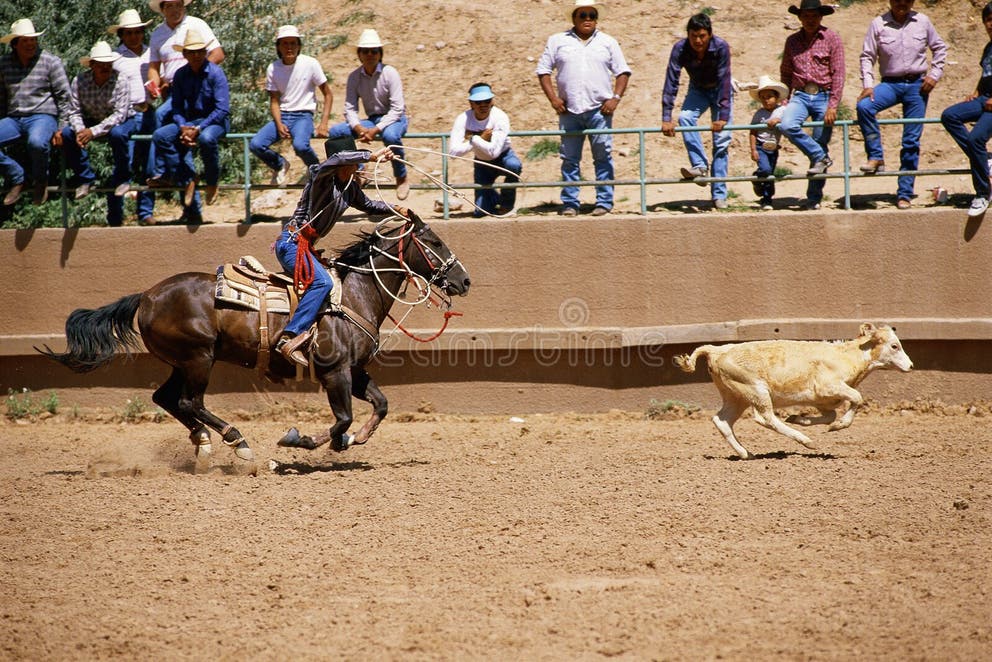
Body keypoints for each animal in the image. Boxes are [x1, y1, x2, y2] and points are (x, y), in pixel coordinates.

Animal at [674, 323, 913, 459]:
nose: (911, 366)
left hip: (736, 396)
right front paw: (838, 426)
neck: (847, 357)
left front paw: (799, 418)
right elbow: (856, 398)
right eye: (894, 346)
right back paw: (805, 441)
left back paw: (746, 454)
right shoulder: (830, 386)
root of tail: (718, 350)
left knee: (722, 420)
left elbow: (829, 415)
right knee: (764, 418)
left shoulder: (823, 401)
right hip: (755, 389)